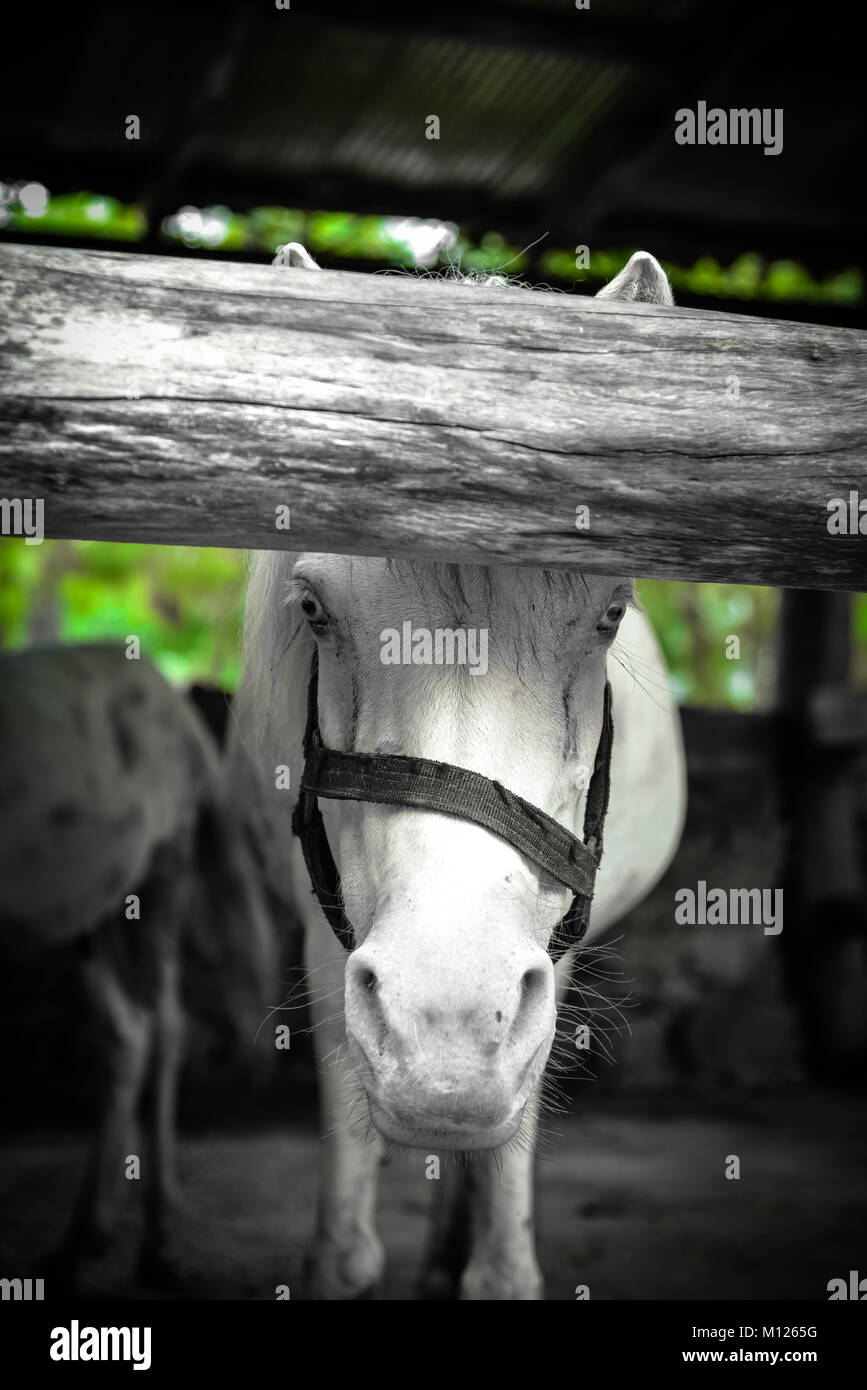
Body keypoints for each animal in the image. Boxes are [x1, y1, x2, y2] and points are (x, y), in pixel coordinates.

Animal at [0, 642, 275, 1289]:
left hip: (160, 872)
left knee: (162, 1030)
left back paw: (155, 1244)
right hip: (96, 904)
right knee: (125, 1034)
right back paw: (83, 1238)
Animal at [233, 244, 687, 1299]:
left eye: (610, 616)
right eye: (312, 609)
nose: (444, 1023)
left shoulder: (550, 948)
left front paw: (486, 1260)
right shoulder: (324, 927)